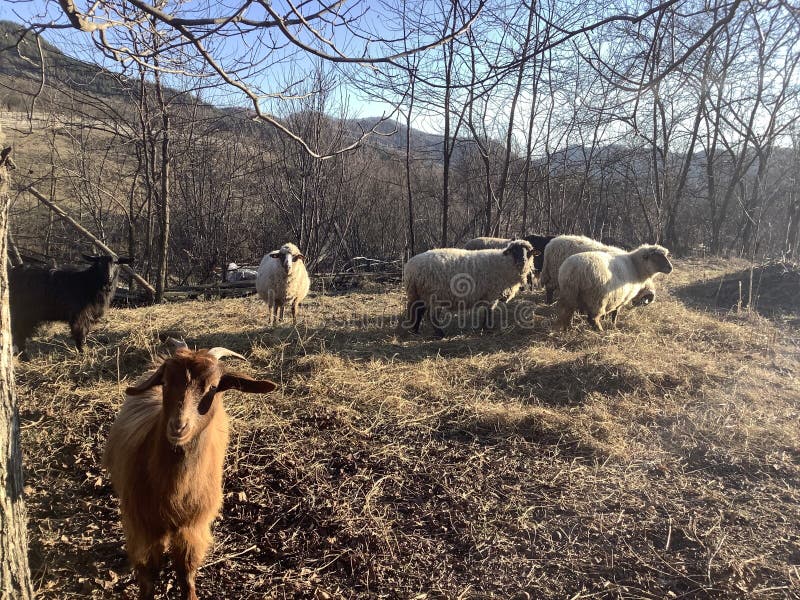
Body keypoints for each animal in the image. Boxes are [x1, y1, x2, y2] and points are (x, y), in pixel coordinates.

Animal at [103, 344, 278, 600]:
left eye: (214, 387)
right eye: (165, 381)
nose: (178, 427)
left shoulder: (192, 528)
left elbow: (185, 572)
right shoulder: (143, 527)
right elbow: (148, 576)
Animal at [403, 240, 537, 336]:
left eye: (528, 252)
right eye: (514, 250)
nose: (522, 260)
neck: (505, 263)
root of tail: (410, 267)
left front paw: (485, 327)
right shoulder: (492, 293)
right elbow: (489, 311)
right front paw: (487, 328)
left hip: (418, 293)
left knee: (417, 310)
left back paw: (415, 331)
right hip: (432, 294)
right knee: (431, 316)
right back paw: (440, 334)